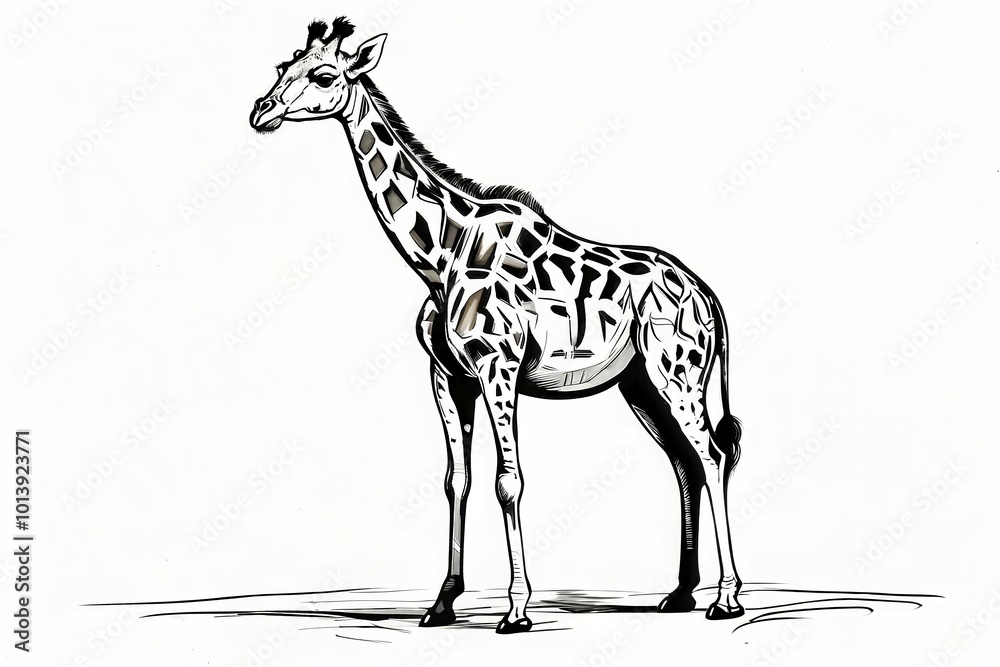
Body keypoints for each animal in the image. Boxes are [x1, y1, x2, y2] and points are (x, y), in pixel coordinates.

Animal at [250, 18, 746, 633]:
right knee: (684, 462)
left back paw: (726, 599)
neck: (440, 255)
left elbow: (509, 482)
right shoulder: (448, 374)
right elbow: (455, 480)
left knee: (712, 456)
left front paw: (515, 609)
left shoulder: (498, 367)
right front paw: (442, 603)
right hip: (640, 383)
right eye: (280, 67)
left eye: (323, 75)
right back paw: (679, 593)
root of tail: (708, 296)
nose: (261, 111)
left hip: (677, 371)